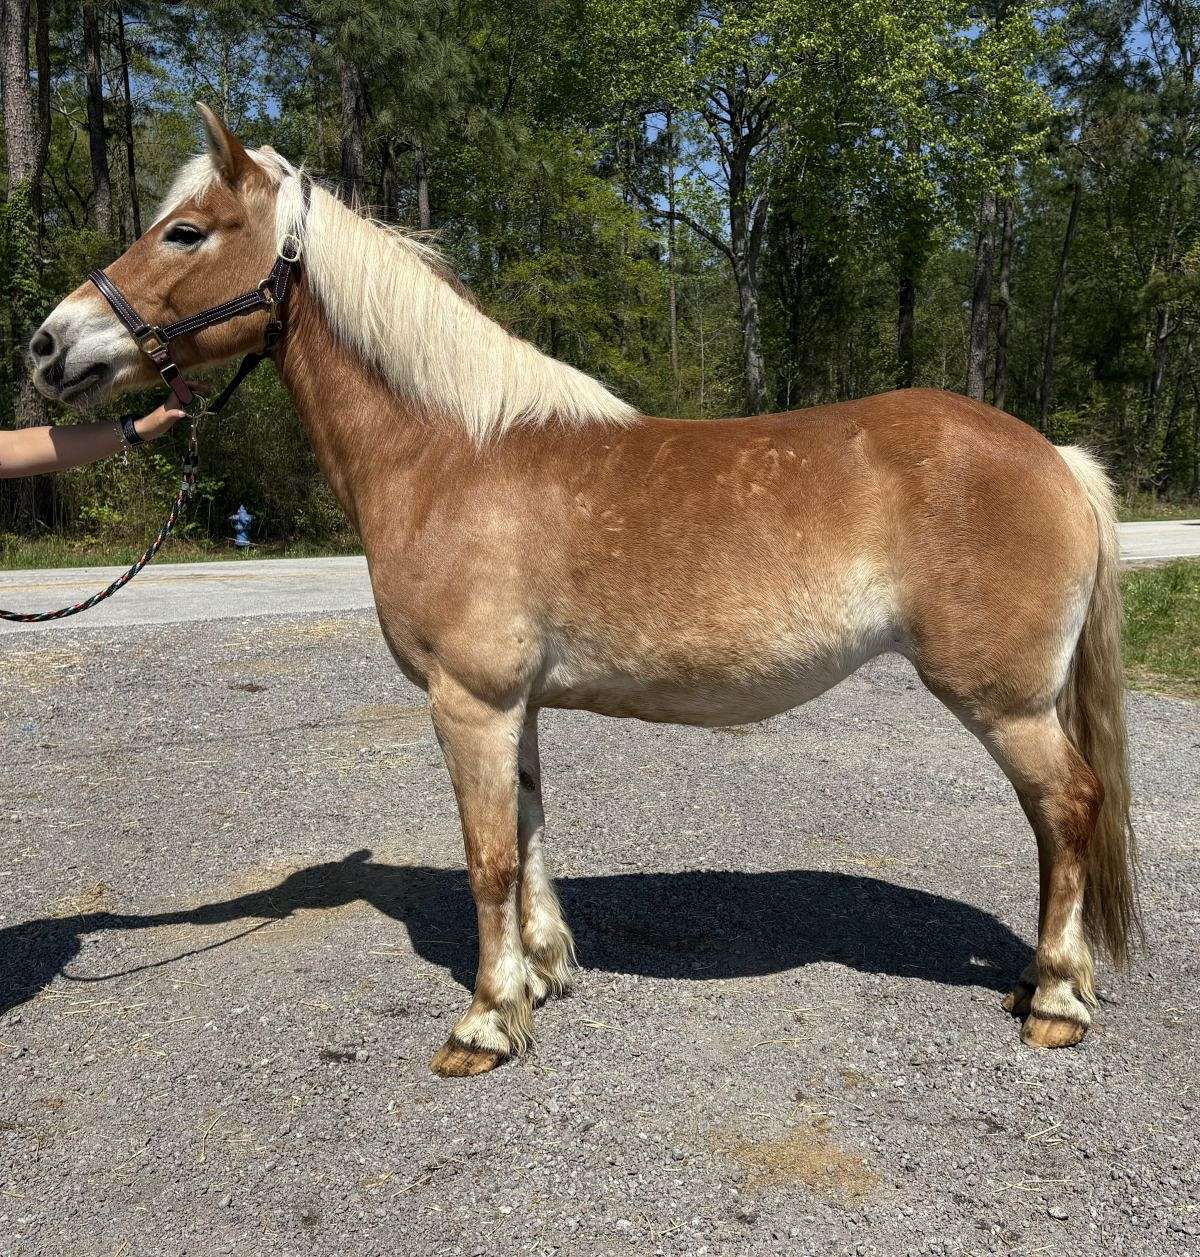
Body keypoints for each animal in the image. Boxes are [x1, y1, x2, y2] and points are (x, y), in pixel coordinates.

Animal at [29, 107, 1140, 1078]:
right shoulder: (509, 706)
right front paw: (540, 977)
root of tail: (1055, 457)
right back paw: (1040, 982)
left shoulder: (468, 701)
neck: (450, 453)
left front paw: (483, 1023)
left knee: (1070, 805)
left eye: (184, 231)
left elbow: (485, 857)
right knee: (1055, 819)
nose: (49, 345)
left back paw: (1054, 1001)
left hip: (1002, 702)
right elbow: (525, 835)